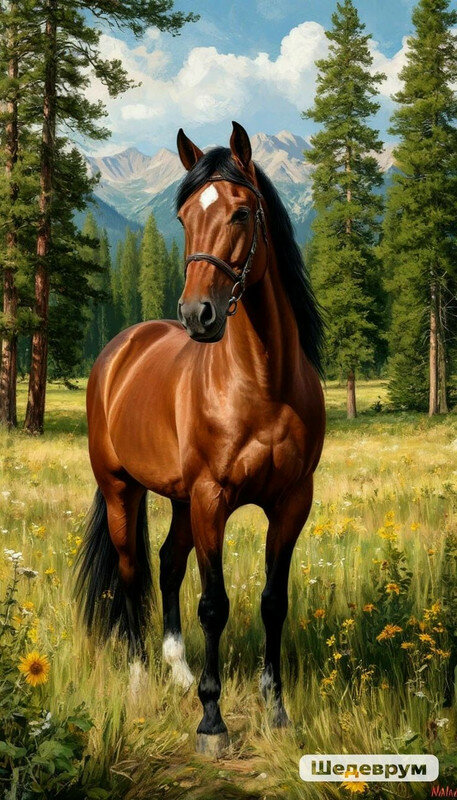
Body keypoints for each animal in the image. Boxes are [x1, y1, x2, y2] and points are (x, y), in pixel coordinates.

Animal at [76, 121, 325, 757]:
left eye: (240, 213)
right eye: (184, 216)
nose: (198, 314)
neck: (262, 382)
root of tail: (120, 349)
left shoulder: (292, 502)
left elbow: (273, 602)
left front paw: (275, 708)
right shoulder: (214, 498)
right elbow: (214, 604)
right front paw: (212, 721)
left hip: (181, 499)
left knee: (166, 563)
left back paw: (180, 670)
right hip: (123, 491)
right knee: (133, 573)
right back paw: (143, 678)